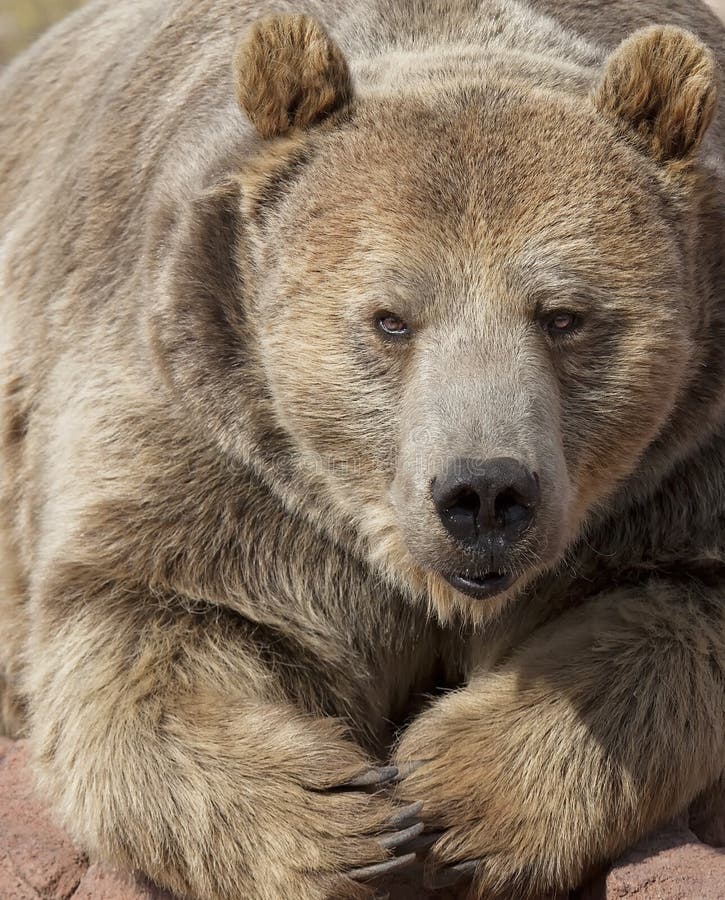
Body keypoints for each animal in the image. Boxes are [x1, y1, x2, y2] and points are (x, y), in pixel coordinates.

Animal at [1, 0, 725, 898]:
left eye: (563, 315)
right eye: (389, 319)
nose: (484, 493)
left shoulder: (678, 465)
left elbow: (668, 620)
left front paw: (452, 796)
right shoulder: (212, 443)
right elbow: (143, 630)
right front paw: (345, 822)